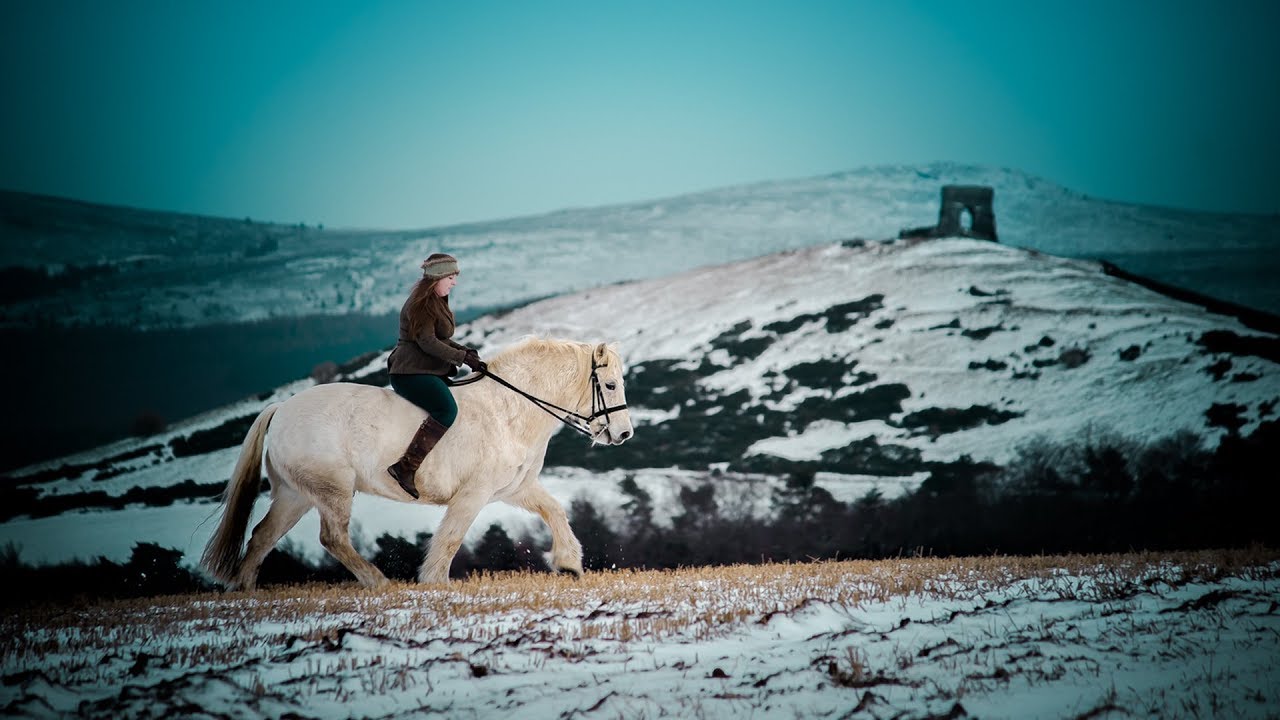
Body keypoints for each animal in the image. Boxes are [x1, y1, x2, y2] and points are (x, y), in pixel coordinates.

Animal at [200, 338, 634, 589]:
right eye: (610, 385)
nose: (625, 435)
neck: (510, 409)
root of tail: (281, 409)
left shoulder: (515, 488)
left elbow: (555, 510)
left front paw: (570, 565)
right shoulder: (473, 495)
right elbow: (451, 538)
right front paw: (434, 583)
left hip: (296, 494)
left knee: (262, 537)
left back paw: (243, 591)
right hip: (332, 489)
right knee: (332, 538)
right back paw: (380, 584)